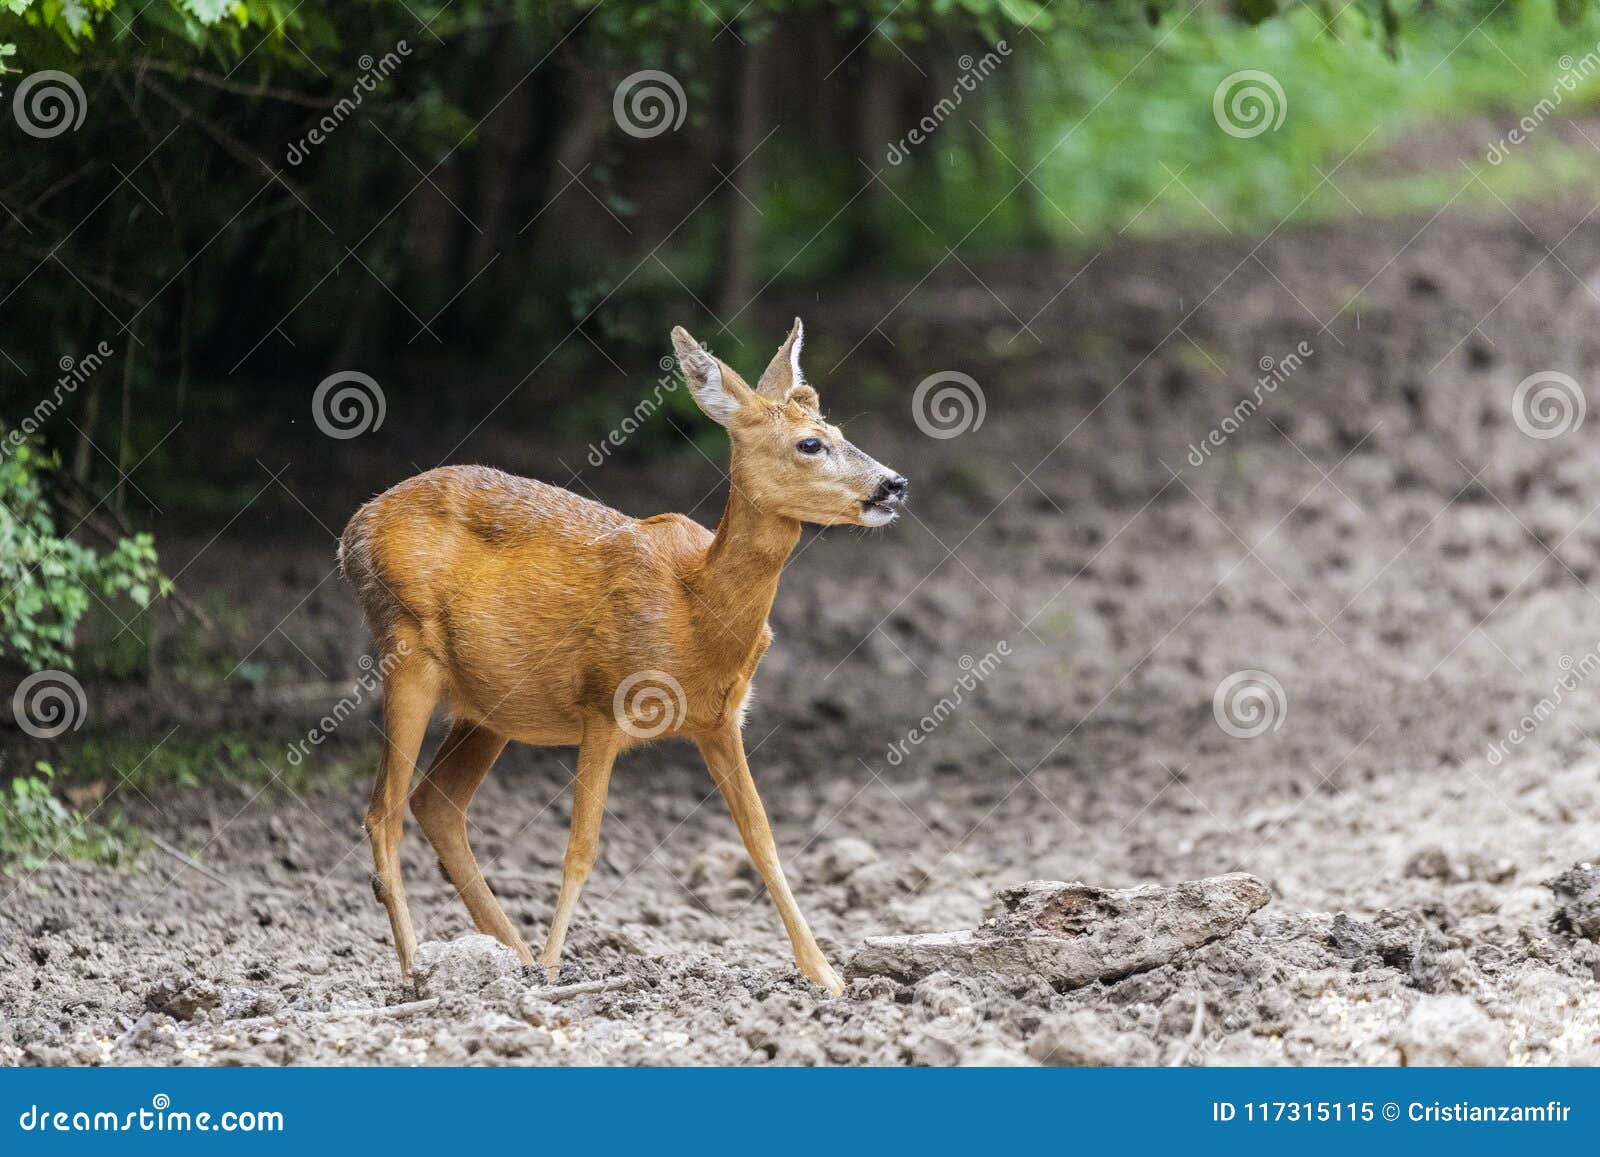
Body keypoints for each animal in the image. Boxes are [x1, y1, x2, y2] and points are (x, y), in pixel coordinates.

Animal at [337, 319, 907, 996]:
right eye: (810, 444)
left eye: (841, 431)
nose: (893, 484)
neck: (695, 608)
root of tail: (353, 528)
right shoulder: (604, 704)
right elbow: (581, 848)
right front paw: (556, 966)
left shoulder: (721, 720)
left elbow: (762, 839)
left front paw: (827, 977)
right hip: (407, 651)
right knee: (384, 813)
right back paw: (419, 970)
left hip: (491, 705)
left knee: (438, 803)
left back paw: (511, 956)